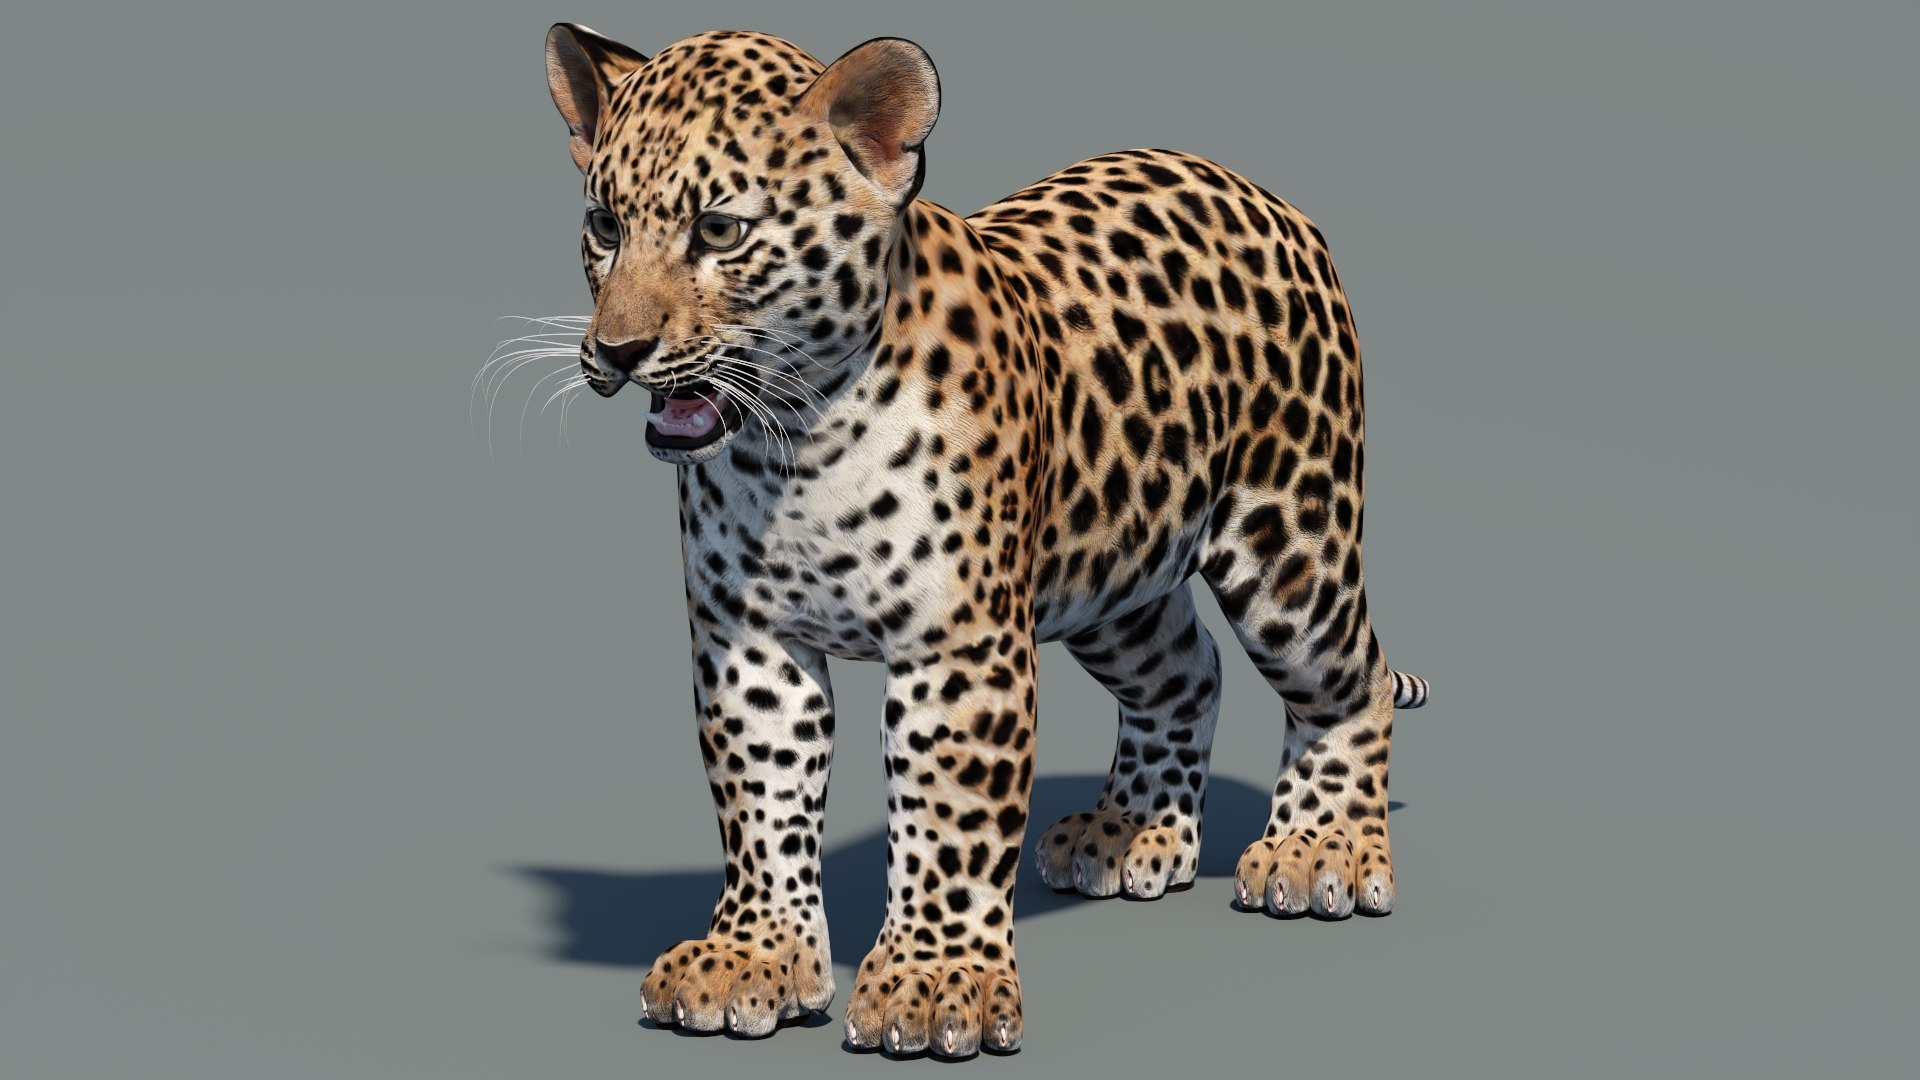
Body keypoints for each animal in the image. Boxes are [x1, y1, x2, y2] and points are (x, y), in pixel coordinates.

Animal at [533, 22, 1431, 1059]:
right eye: (604, 226)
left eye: (720, 232)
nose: (617, 351)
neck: (794, 447)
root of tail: (1262, 191)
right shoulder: (749, 640)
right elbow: (760, 798)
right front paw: (754, 956)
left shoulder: (958, 647)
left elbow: (948, 814)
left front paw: (930, 983)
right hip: (1112, 572)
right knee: (1189, 671)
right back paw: (1134, 832)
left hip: (1289, 547)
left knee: (1350, 679)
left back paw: (1322, 849)